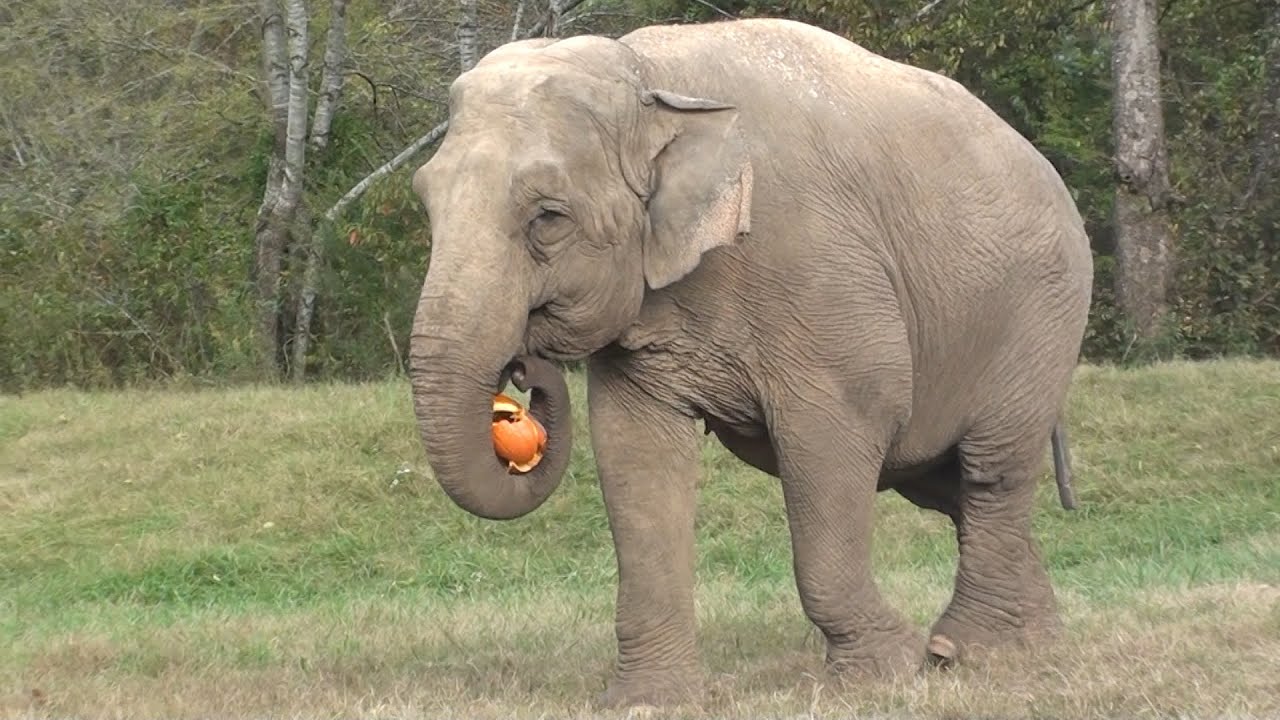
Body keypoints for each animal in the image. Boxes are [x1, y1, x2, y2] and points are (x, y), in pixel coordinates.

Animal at [407, 17, 1093, 709]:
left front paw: (882, 672)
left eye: (546, 217)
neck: (649, 74)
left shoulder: (820, 271)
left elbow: (841, 427)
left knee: (989, 473)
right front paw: (649, 701)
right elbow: (633, 454)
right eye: (425, 204)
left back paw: (965, 650)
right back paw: (1031, 642)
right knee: (943, 483)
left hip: (1041, 317)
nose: (523, 370)